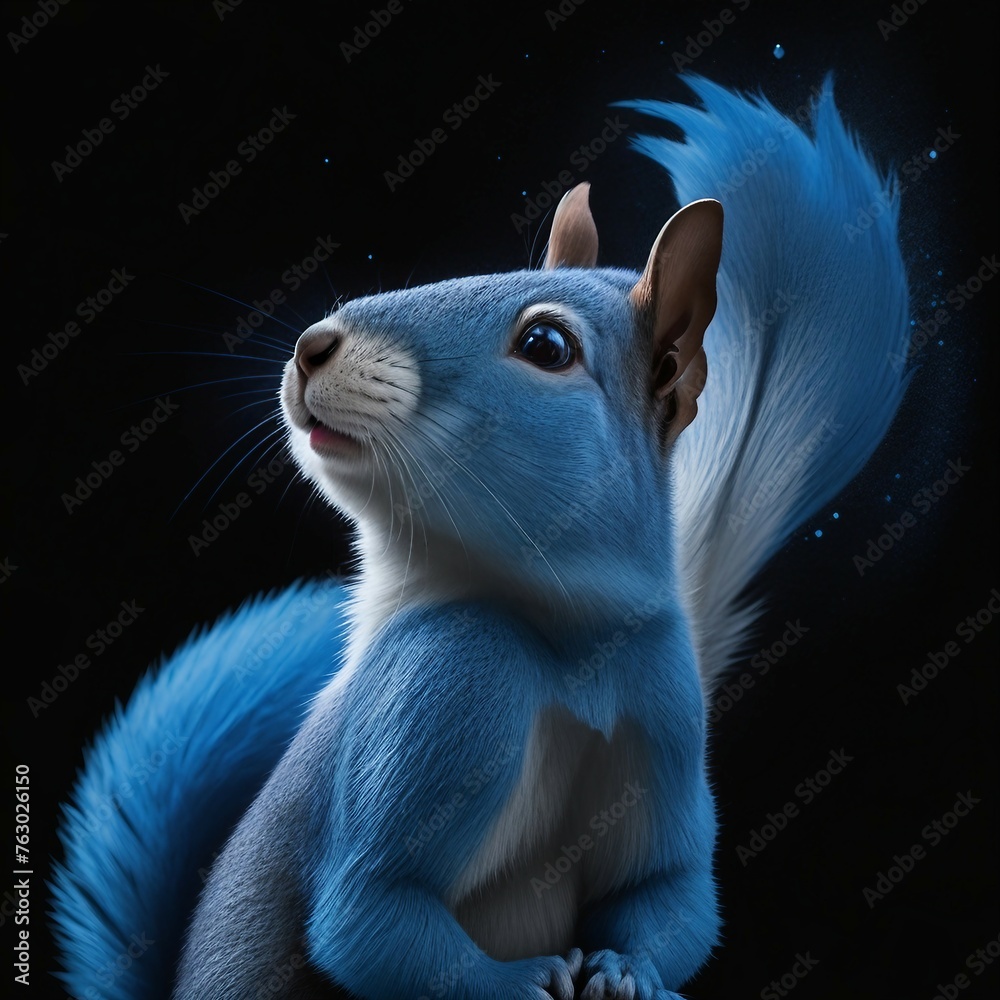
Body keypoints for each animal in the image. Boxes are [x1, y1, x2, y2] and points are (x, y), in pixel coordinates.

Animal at [51, 75, 910, 1000]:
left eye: (547, 344)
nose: (312, 346)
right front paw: (523, 981)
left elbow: (667, 894)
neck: (566, 639)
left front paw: (626, 971)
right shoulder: (452, 672)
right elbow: (372, 911)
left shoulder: (668, 708)